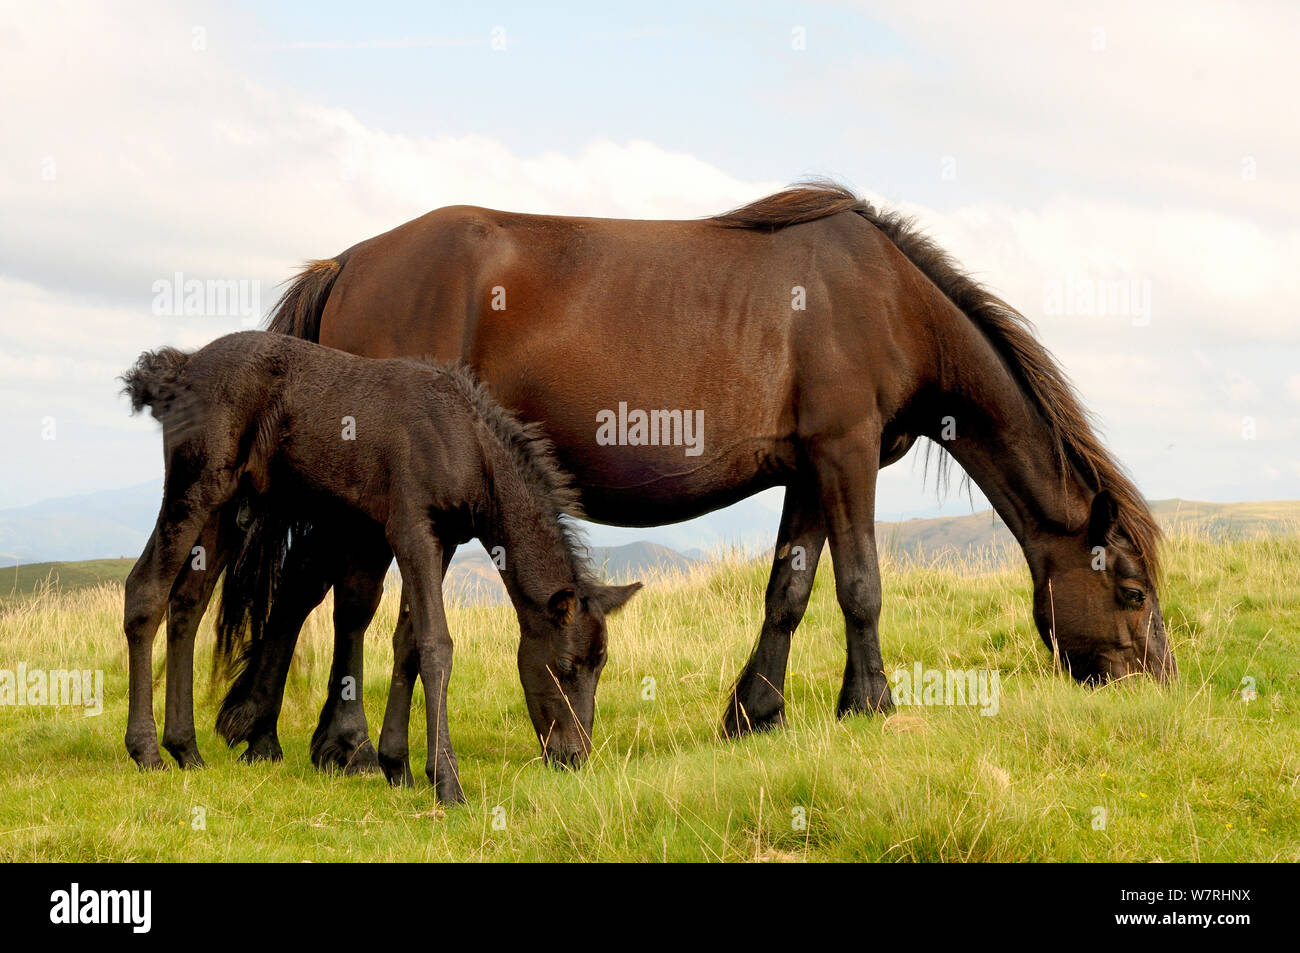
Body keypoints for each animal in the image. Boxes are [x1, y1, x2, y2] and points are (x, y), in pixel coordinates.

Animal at [120, 332, 640, 801]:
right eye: (565, 665)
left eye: (601, 665)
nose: (573, 756)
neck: (466, 444)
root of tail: (182, 367)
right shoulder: (410, 531)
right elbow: (436, 645)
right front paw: (445, 781)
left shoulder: (444, 541)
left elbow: (407, 642)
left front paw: (398, 766)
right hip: (195, 486)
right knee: (146, 590)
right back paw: (147, 751)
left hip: (228, 506)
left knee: (189, 603)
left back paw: (185, 749)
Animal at [193, 179, 1174, 767]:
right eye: (1129, 591)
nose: (1159, 686)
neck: (888, 300)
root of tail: (348, 262)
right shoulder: (846, 453)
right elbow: (859, 584)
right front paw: (871, 704)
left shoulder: (809, 470)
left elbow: (791, 588)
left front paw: (756, 711)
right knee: (329, 587)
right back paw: (320, 738)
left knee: (317, 586)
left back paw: (268, 729)